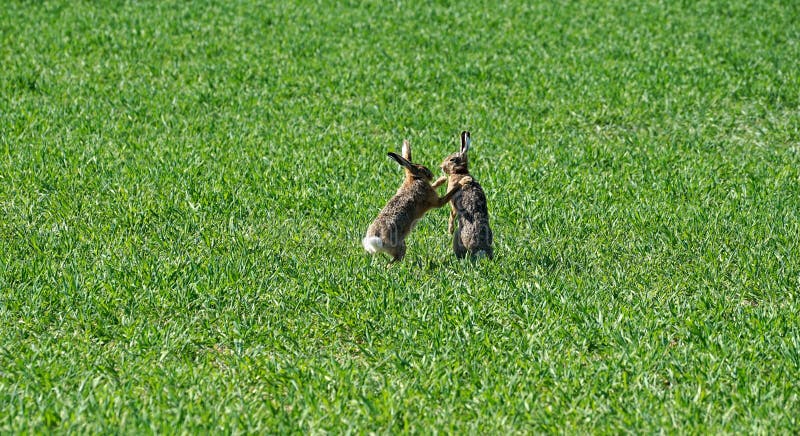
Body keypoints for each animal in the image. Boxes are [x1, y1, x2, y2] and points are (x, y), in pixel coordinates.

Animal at [436, 131, 493, 259]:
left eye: (452, 159)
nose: (441, 166)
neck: (460, 172)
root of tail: (480, 249)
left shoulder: (453, 203)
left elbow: (452, 214)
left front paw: (450, 230)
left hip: (458, 236)